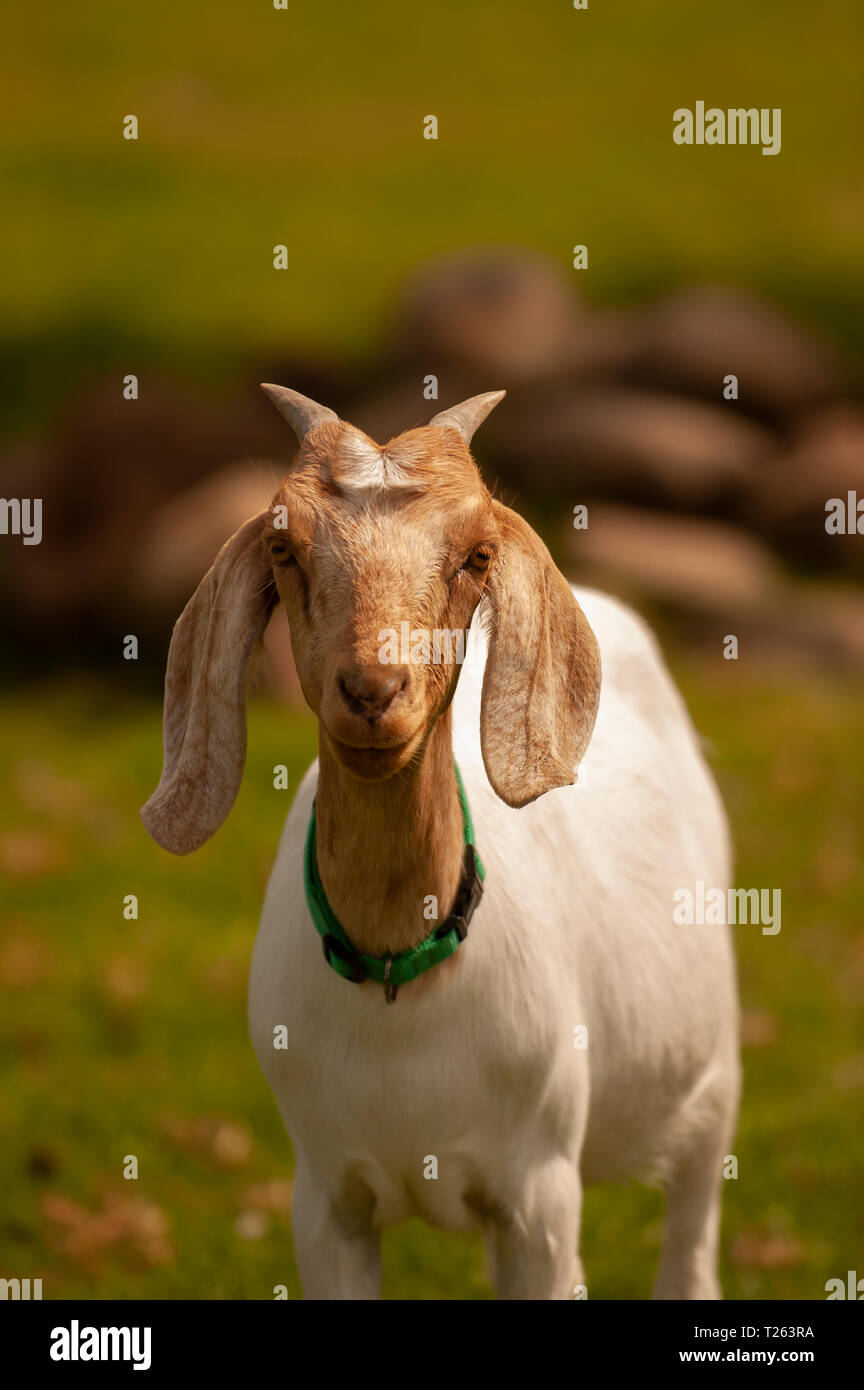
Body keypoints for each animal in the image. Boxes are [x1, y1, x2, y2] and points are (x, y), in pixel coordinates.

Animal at [141, 386, 740, 1300]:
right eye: (283, 545)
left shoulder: (541, 1195)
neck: (399, 977)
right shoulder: (326, 1198)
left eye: (477, 555)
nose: (372, 689)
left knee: (692, 1233)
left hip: (712, 1090)